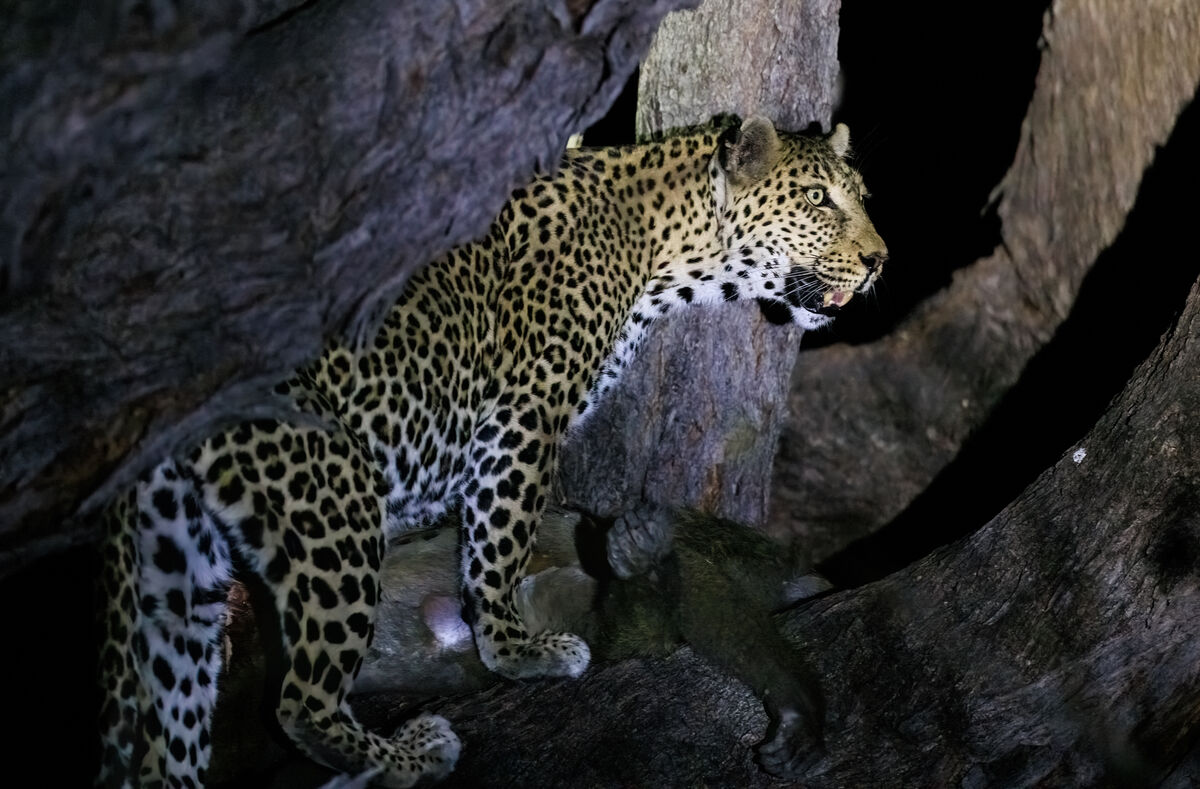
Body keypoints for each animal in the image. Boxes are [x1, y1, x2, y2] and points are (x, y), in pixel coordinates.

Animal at [95, 115, 887, 787]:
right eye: (817, 199)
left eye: (861, 198)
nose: (880, 260)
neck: (662, 251)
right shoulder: (523, 416)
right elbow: (501, 539)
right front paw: (516, 650)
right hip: (333, 493)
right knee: (302, 700)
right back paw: (411, 753)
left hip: (178, 560)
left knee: (168, 734)